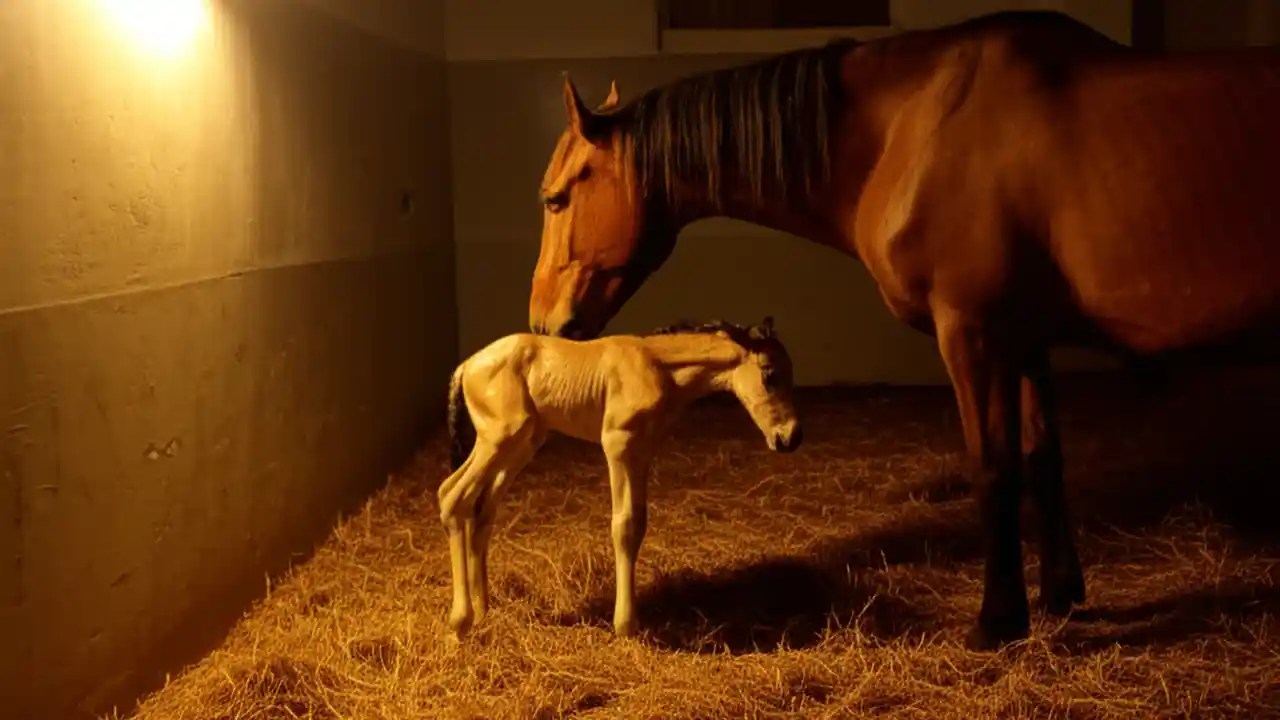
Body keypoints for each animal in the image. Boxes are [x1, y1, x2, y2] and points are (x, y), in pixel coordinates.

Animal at [437, 317, 801, 640]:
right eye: (770, 374)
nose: (791, 438)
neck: (658, 365)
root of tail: (466, 365)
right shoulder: (618, 443)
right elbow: (623, 525)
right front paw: (626, 626)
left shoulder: (642, 451)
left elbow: (638, 523)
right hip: (498, 438)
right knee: (452, 496)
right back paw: (461, 622)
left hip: (521, 443)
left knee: (482, 507)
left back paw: (483, 610)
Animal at [525, 10, 1280, 650]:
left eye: (556, 199)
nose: (544, 324)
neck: (917, 126)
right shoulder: (1025, 340)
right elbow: (1044, 458)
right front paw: (1061, 593)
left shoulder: (974, 336)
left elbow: (994, 466)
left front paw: (999, 620)